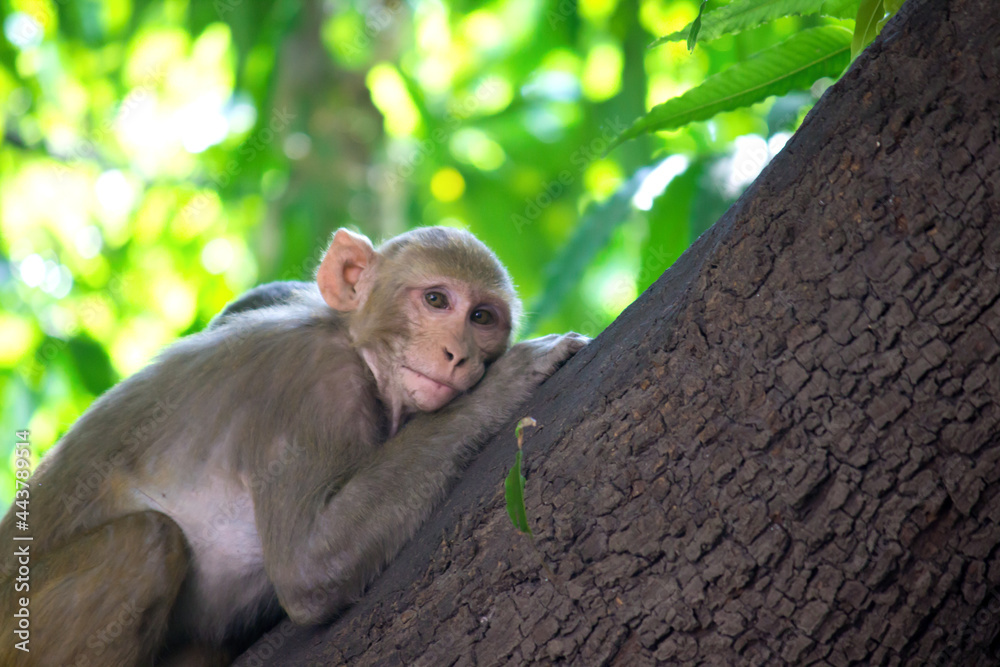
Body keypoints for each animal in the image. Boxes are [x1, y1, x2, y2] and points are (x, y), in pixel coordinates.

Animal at [0, 226, 587, 666]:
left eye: (482, 318)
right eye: (437, 300)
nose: (458, 354)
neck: (360, 352)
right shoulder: (316, 390)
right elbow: (308, 566)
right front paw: (511, 377)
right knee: (145, 542)